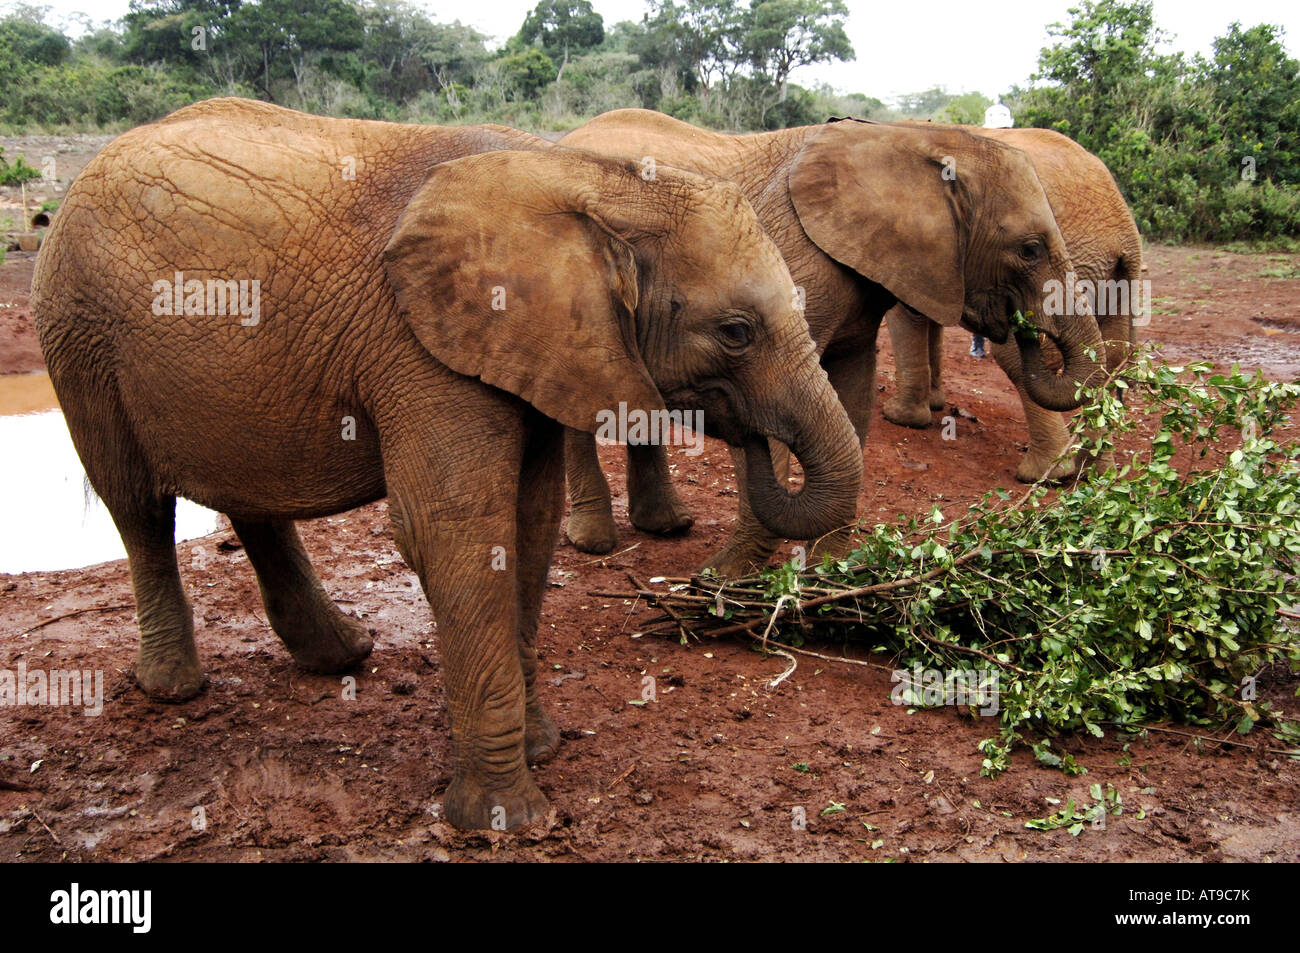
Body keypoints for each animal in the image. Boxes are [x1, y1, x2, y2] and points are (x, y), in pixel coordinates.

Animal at [31, 98, 863, 830]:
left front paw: (540, 746)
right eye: (736, 332)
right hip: (77, 334)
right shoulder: (424, 346)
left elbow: (528, 525)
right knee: (137, 506)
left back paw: (343, 655)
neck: (592, 181)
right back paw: (176, 689)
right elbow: (454, 530)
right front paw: (505, 818)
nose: (751, 436)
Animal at [556, 108, 1105, 575]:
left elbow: (853, 395)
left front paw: (832, 568)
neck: (910, 138)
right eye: (1030, 250)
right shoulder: (793, 262)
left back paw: (667, 526)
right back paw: (594, 542)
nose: (1022, 326)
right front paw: (729, 576)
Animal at [883, 125, 1143, 482]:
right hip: (1112, 280)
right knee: (1110, 358)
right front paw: (933, 405)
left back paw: (1046, 474)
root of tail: (1123, 234)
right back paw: (1095, 475)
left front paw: (900, 418)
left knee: (1023, 358)